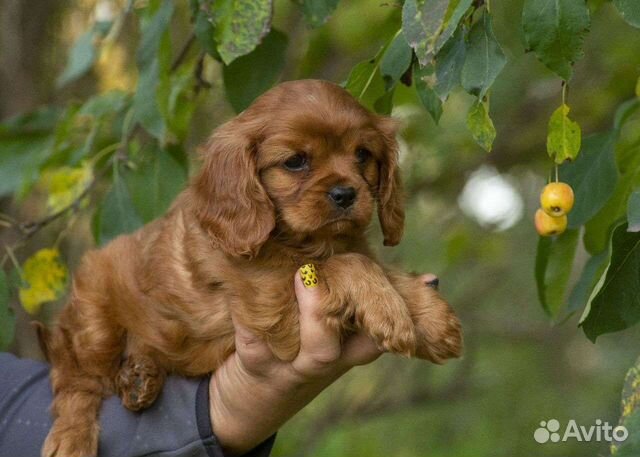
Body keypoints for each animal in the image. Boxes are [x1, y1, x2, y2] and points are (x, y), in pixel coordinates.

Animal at [40, 79, 462, 456]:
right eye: (295, 161)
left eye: (362, 155)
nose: (345, 193)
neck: (301, 240)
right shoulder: (275, 310)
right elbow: (346, 264)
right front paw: (389, 309)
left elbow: (374, 264)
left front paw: (430, 316)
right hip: (94, 317)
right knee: (73, 378)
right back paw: (72, 436)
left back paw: (139, 376)